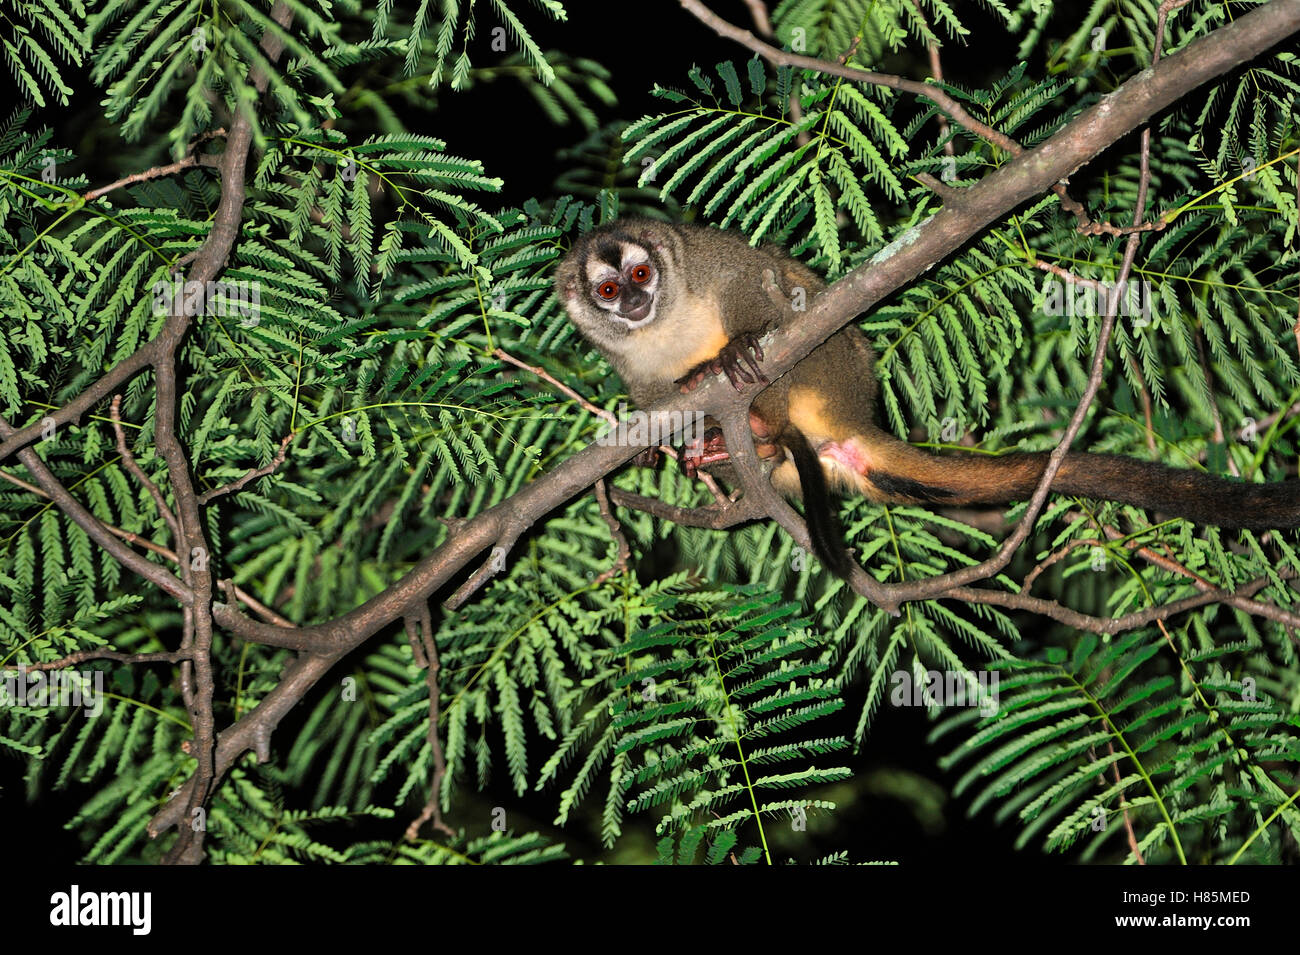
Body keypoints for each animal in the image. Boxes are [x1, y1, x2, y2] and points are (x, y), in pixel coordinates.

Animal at [554, 218, 1300, 578]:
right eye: (609, 291)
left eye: (642, 274)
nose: (637, 301)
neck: (664, 324)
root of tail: (852, 417)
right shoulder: (626, 362)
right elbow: (648, 395)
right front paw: (649, 448)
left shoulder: (716, 265)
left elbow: (768, 286)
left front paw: (737, 346)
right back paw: (726, 444)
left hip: (836, 365)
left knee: (801, 320)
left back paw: (755, 417)